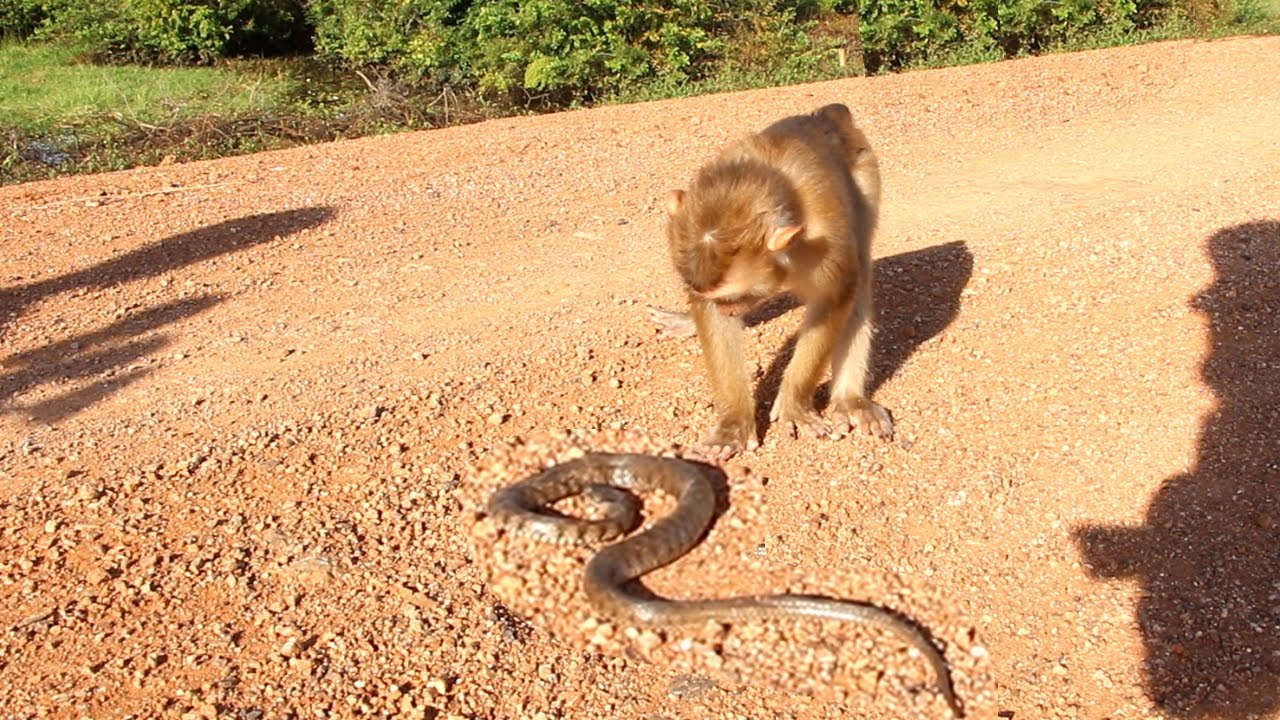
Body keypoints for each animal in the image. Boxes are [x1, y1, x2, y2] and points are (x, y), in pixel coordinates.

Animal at [660, 103, 891, 458]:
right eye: (721, 301)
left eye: (734, 298)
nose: (729, 311)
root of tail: (826, 114)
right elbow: (708, 314)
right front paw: (734, 421)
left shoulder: (828, 241)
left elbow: (837, 294)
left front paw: (795, 403)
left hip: (865, 173)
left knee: (861, 271)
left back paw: (850, 400)